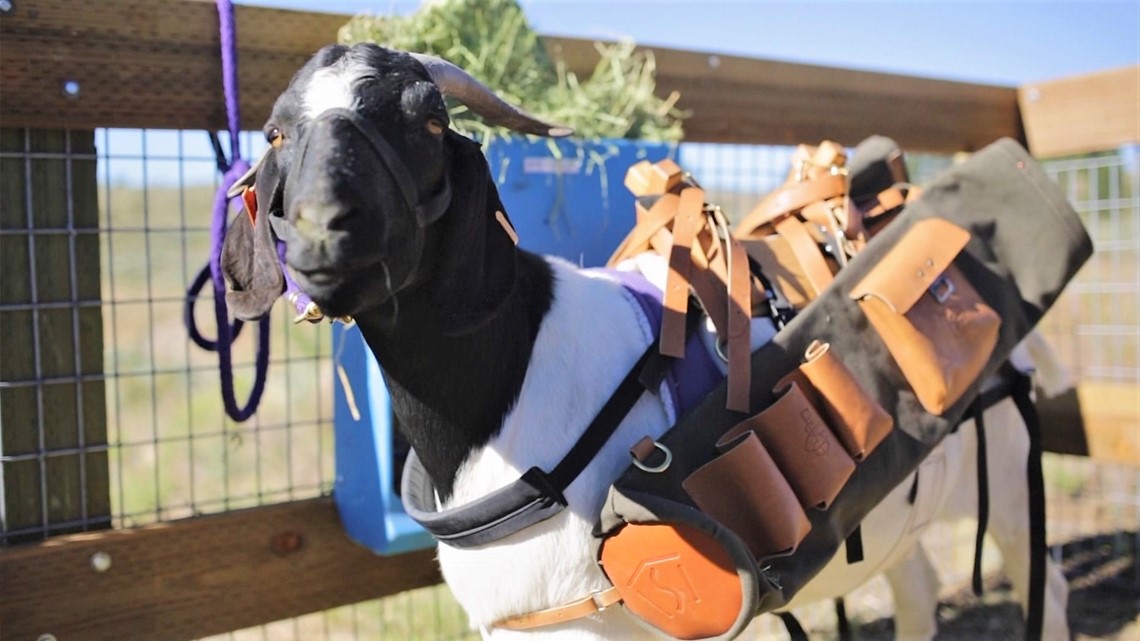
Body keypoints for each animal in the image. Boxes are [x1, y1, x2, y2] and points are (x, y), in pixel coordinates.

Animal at [221, 43, 1069, 639]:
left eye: (429, 119)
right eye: (277, 131)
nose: (325, 234)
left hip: (1010, 474)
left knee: (1046, 586)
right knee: (918, 592)